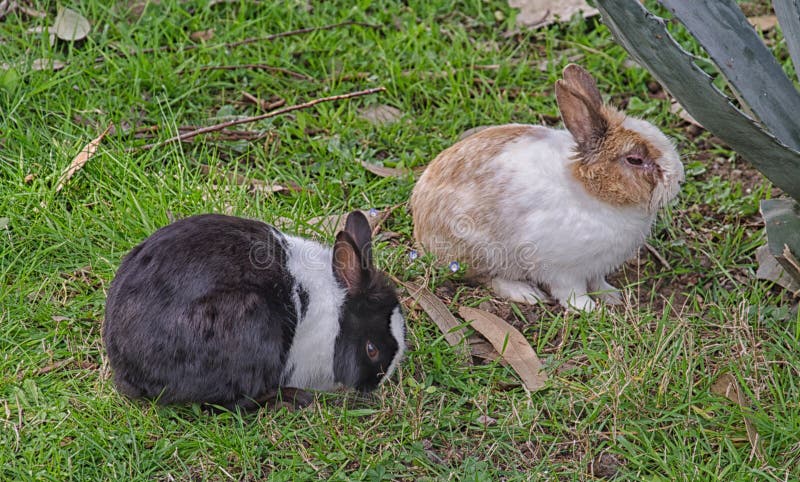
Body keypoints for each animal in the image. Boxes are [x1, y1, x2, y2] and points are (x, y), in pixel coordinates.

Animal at [103, 210, 406, 410]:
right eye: (371, 349)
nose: (374, 385)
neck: (334, 319)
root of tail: (127, 367)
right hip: (253, 320)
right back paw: (295, 398)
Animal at [410, 64, 684, 311]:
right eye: (634, 160)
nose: (679, 178)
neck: (593, 192)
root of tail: (420, 227)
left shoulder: (595, 267)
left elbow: (597, 281)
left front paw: (610, 295)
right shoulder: (562, 268)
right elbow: (570, 290)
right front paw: (586, 308)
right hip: (483, 251)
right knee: (486, 277)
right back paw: (526, 293)